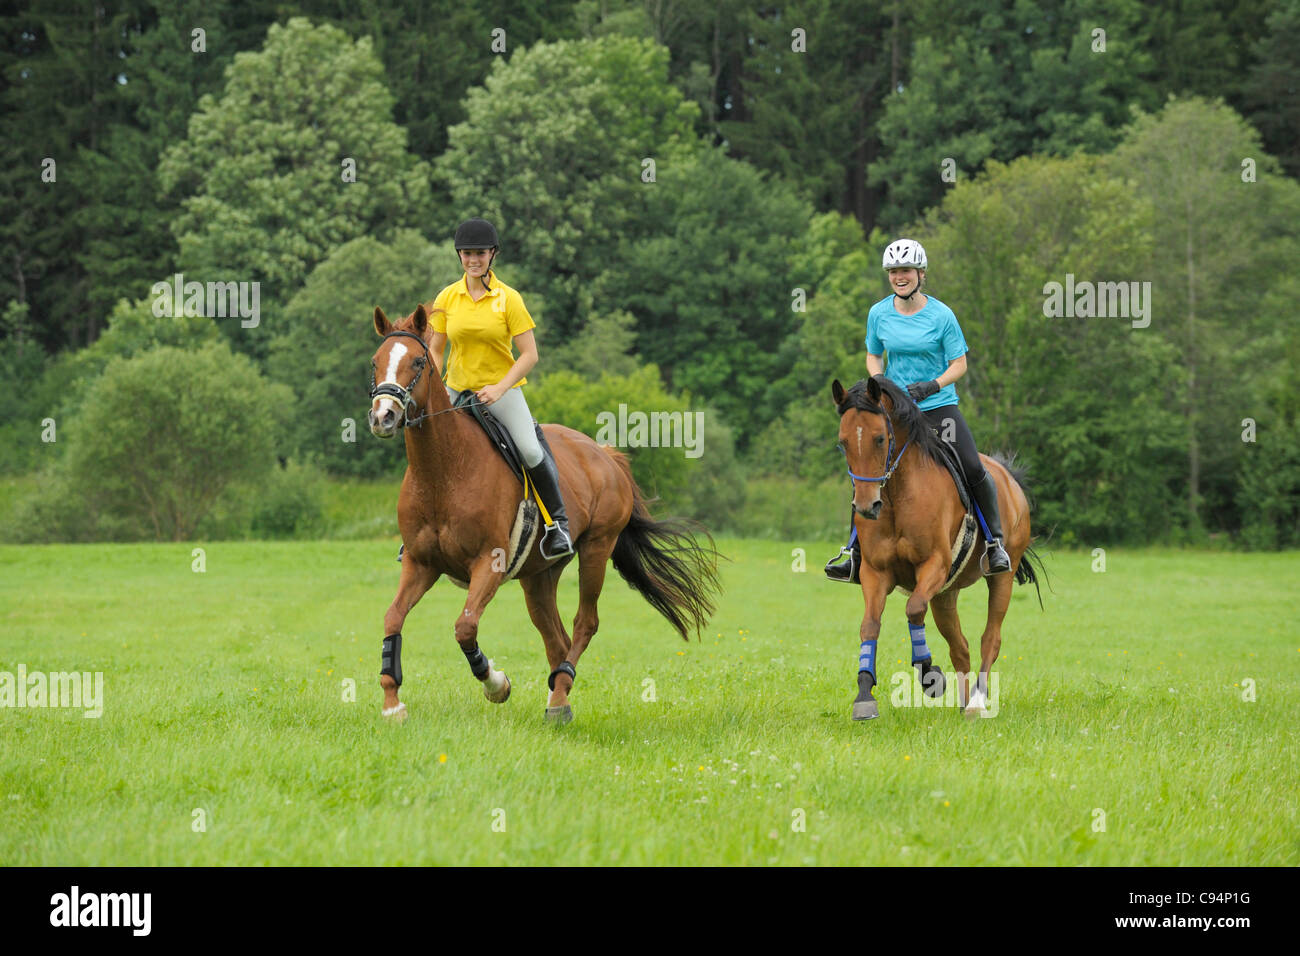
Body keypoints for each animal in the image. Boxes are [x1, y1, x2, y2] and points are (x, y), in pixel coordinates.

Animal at [366, 303, 721, 723]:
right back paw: (559, 699)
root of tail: (607, 455)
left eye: (418, 362)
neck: (443, 471)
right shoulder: (420, 563)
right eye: (375, 363)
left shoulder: (490, 562)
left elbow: (465, 627)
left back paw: (559, 692)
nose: (383, 417)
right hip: (539, 576)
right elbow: (392, 617)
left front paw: (497, 684)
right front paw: (392, 703)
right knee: (555, 636)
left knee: (584, 624)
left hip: (597, 548)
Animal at [831, 376, 1044, 720]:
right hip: (946, 594)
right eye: (843, 442)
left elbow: (913, 609)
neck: (897, 497)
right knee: (961, 647)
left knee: (990, 638)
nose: (866, 506)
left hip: (1001, 578)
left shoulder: (934, 565)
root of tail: (1008, 477)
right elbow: (870, 626)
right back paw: (963, 705)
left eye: (880, 438)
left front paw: (930, 676)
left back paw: (977, 701)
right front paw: (864, 696)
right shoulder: (875, 572)